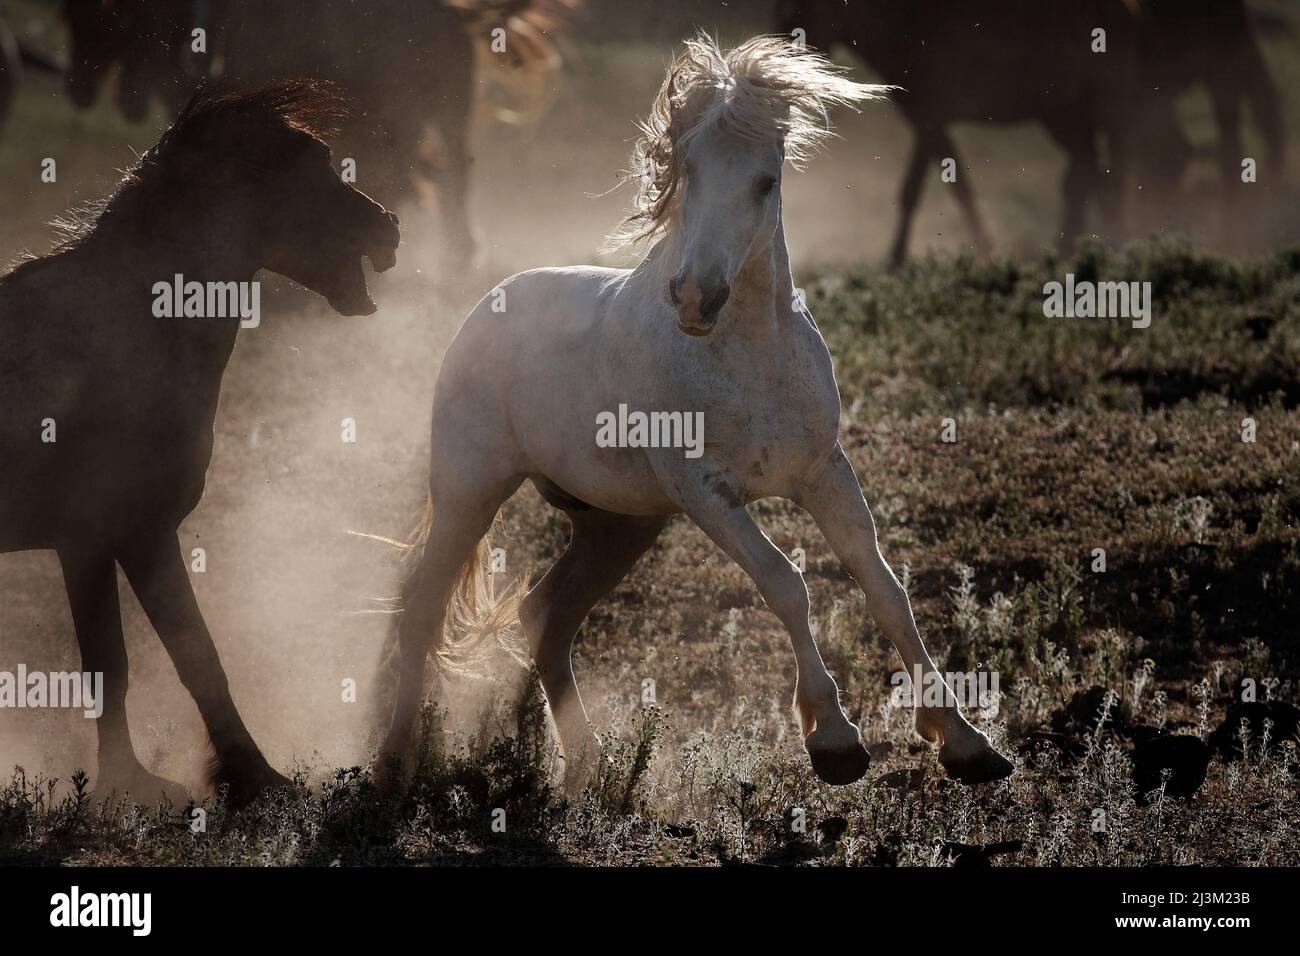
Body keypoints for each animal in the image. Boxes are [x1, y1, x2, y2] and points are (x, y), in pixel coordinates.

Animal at [0, 81, 401, 807]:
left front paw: (195, 778)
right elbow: (166, 660)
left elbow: (148, 662)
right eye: (313, 164)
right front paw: (223, 780)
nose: (389, 227)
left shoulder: (106, 541)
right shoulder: (125, 535)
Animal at [376, 36, 1014, 789]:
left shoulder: (824, 472)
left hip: (618, 525)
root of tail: (486, 305)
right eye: (688, 170)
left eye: (766, 181)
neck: (752, 366)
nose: (694, 298)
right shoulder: (707, 493)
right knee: (423, 609)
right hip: (470, 490)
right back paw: (392, 763)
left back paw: (589, 765)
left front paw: (964, 740)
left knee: (543, 617)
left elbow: (884, 587)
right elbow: (786, 583)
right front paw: (832, 738)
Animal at [776, 0, 1141, 266]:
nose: (784, 64)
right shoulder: (925, 119)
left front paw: (897, 262)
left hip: (1066, 114)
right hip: (1077, 116)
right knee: (1093, 176)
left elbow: (921, 190)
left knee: (1090, 177)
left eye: (809, 7)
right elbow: (947, 188)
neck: (905, 24)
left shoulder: (930, 116)